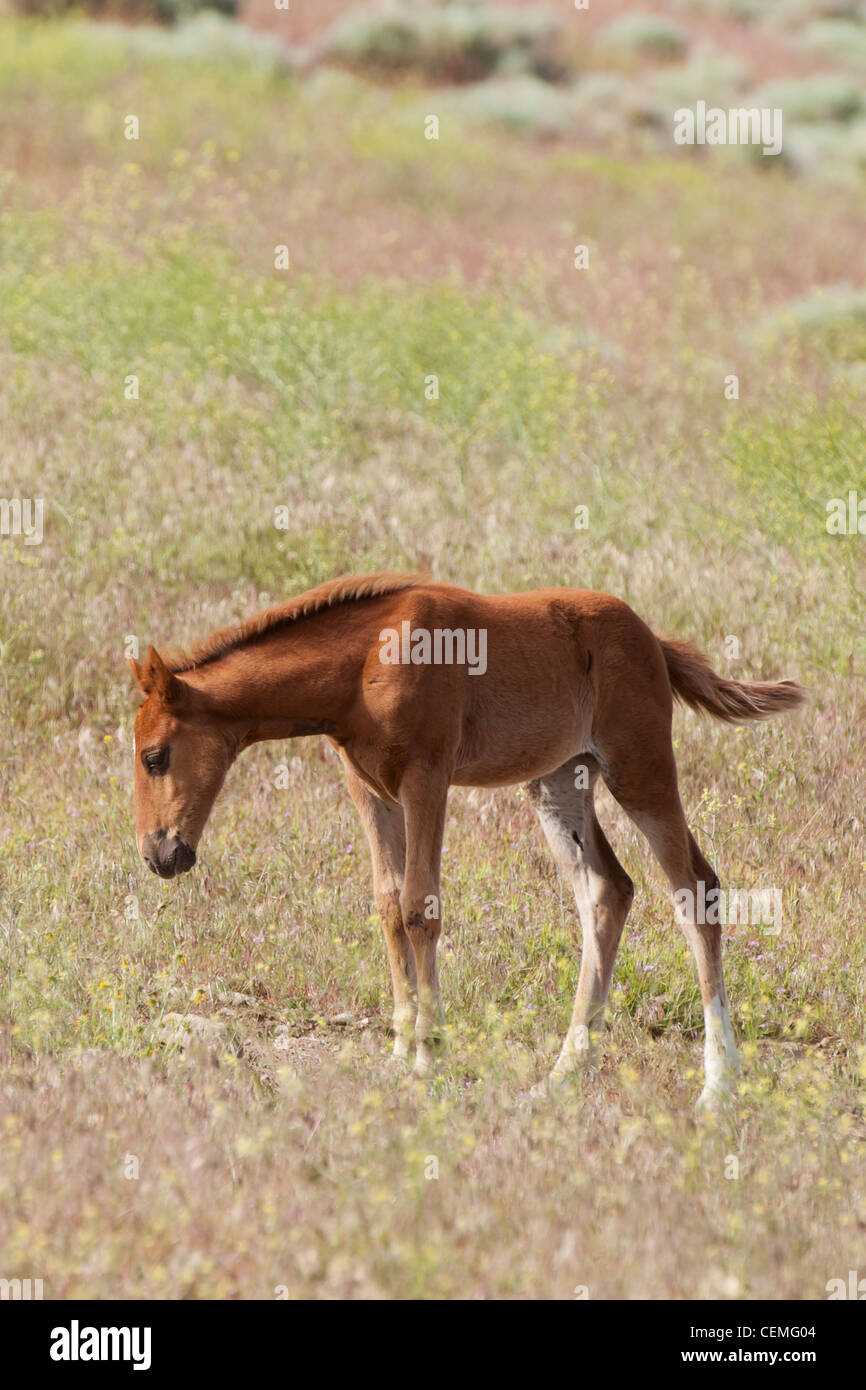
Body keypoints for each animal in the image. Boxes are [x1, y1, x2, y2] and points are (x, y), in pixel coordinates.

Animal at [129, 571, 805, 1106]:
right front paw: (399, 1054)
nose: (160, 854)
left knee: (696, 888)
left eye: (154, 756)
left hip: (640, 769)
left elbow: (419, 907)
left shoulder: (427, 777)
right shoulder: (368, 788)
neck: (362, 663)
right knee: (607, 891)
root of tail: (654, 642)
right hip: (559, 782)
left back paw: (717, 1085)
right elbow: (387, 905)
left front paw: (429, 1058)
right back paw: (561, 1075)